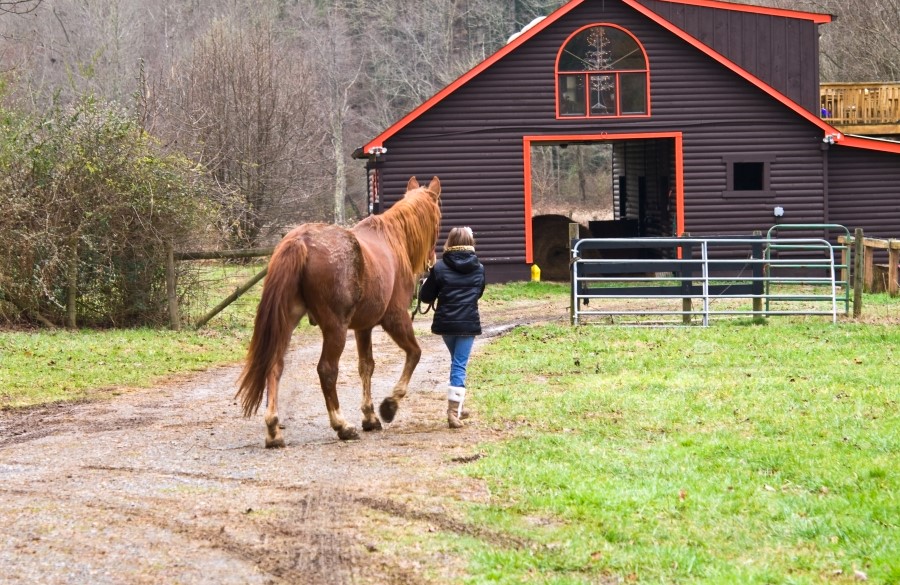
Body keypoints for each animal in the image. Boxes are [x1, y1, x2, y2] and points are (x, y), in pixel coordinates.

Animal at [236, 176, 442, 446]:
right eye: (439, 217)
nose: (432, 262)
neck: (392, 239)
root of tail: (301, 240)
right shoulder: (395, 319)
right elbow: (414, 354)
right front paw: (389, 406)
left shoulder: (364, 327)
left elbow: (366, 366)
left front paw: (370, 417)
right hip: (335, 329)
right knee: (327, 370)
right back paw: (342, 425)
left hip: (287, 322)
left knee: (275, 366)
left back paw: (273, 430)